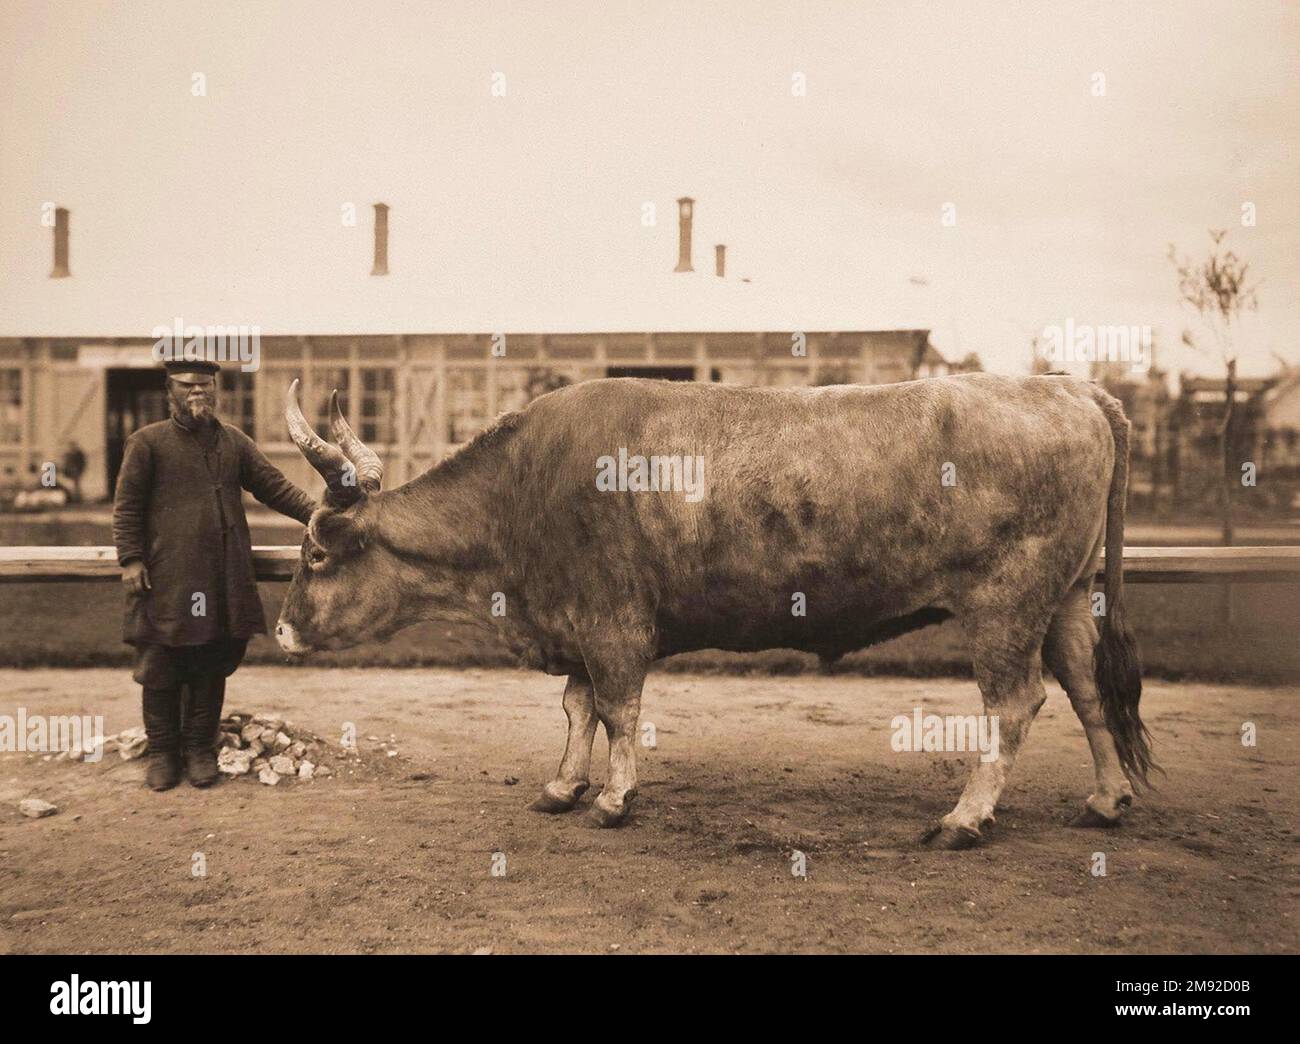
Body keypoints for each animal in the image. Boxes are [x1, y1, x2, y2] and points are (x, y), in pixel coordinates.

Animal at [275, 372, 1154, 848]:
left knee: (1016, 703)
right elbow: (577, 709)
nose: (279, 627)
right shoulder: (579, 625)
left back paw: (965, 818)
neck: (523, 490)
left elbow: (618, 709)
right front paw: (562, 786)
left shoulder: (613, 622)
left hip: (1006, 604)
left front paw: (613, 799)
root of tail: (1070, 385)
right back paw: (1105, 799)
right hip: (1065, 599)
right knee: (1085, 689)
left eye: (315, 555)